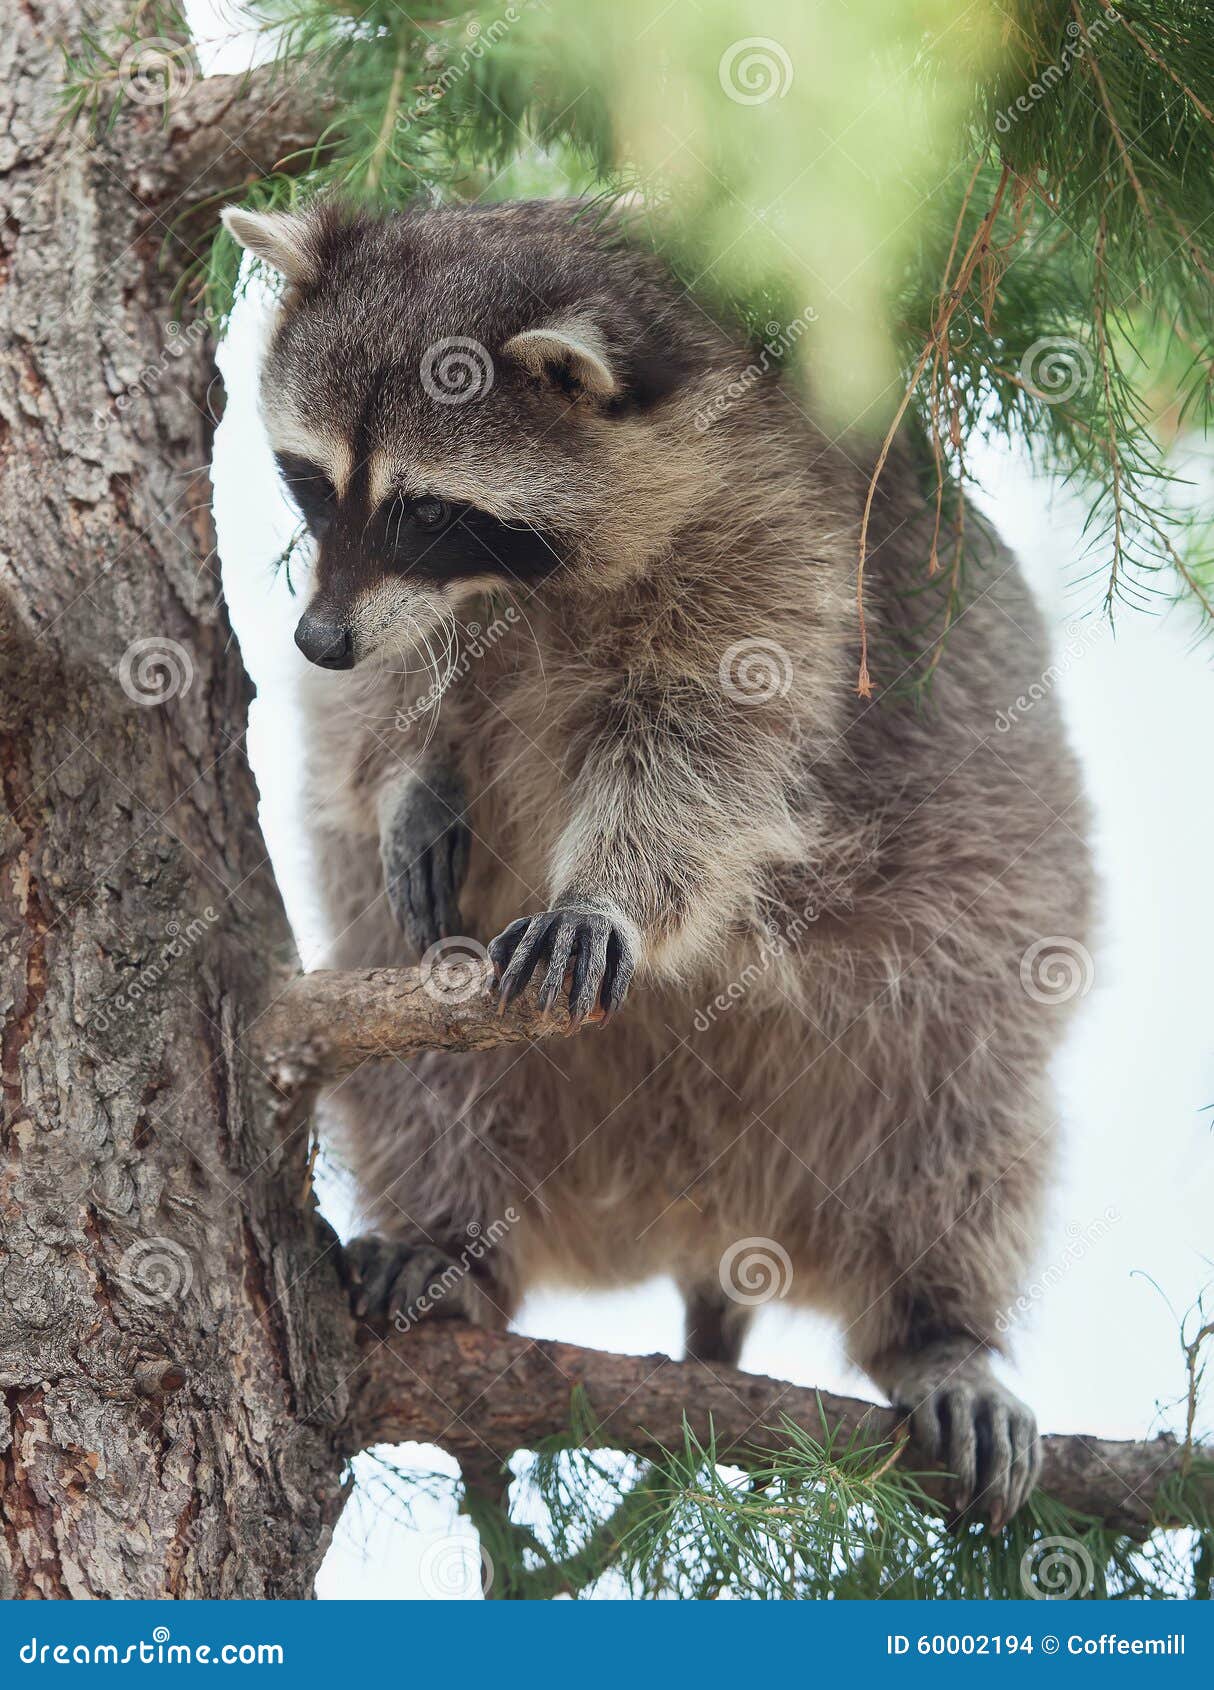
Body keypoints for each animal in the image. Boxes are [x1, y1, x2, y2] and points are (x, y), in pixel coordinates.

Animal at [224, 198, 1093, 1526]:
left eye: (423, 507)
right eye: (312, 482)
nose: (313, 638)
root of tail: (695, 1213)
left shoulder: (776, 537)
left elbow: (709, 737)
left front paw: (611, 892)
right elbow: (375, 707)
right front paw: (407, 772)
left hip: (967, 945)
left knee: (957, 1125)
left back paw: (937, 1324)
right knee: (428, 1085)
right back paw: (446, 1237)